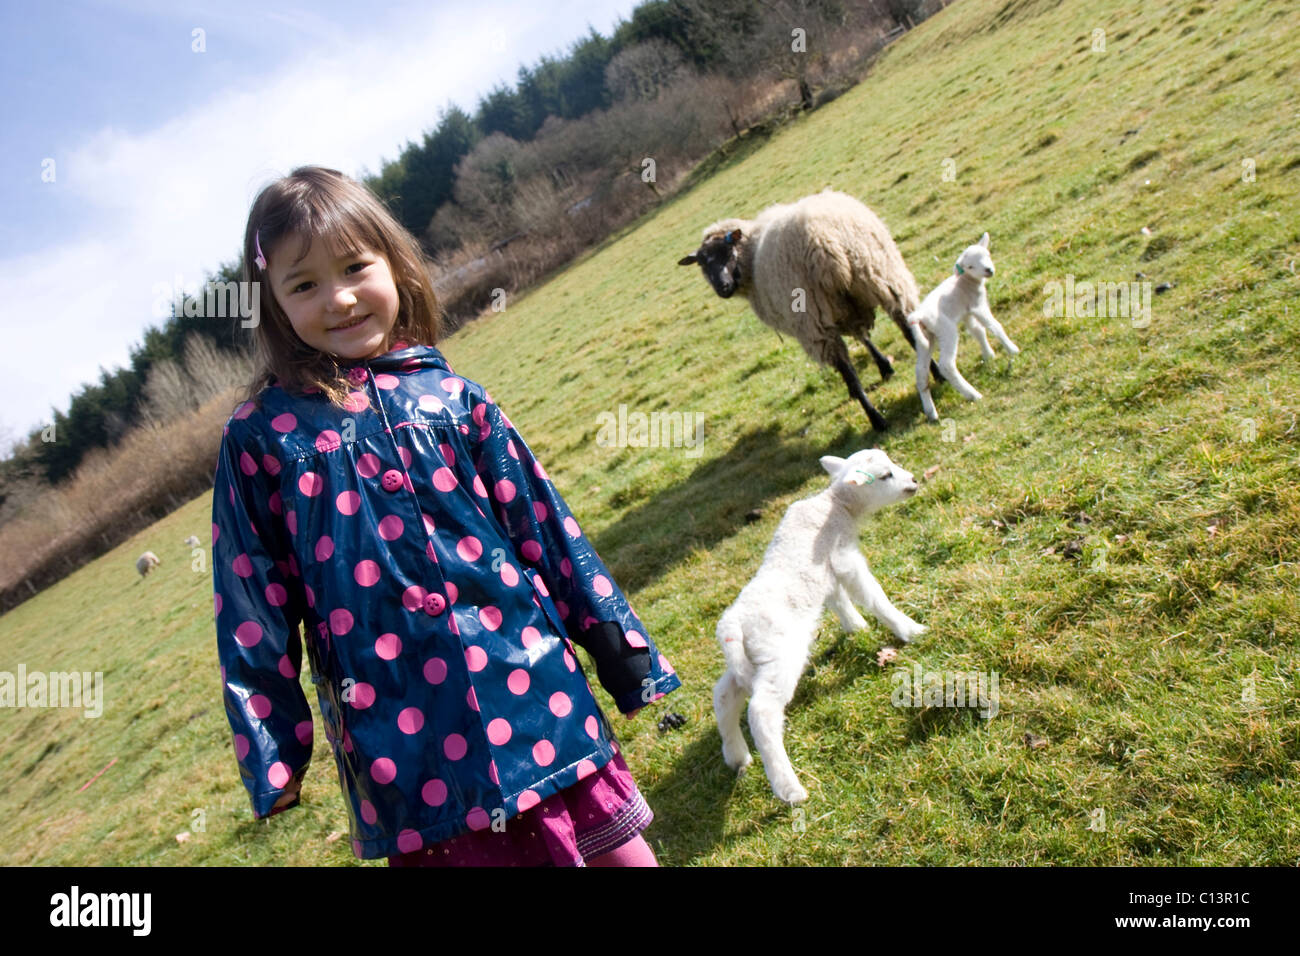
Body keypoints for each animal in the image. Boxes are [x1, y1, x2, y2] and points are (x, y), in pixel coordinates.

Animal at [678, 189, 941, 431]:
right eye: (703, 263)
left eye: (728, 253)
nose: (722, 287)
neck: (750, 257)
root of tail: (826, 240)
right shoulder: (846, 308)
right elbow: (863, 337)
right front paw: (885, 366)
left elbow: (858, 346)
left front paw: (876, 374)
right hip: (883, 275)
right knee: (908, 328)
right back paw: (935, 375)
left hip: (813, 317)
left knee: (846, 368)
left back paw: (875, 418)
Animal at [713, 448, 926, 804]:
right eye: (885, 475)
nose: (913, 480)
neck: (835, 505)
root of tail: (733, 625)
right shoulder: (845, 559)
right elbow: (872, 595)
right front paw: (909, 629)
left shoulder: (828, 571)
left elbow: (838, 598)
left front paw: (857, 627)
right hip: (779, 655)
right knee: (762, 711)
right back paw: (789, 789)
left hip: (750, 660)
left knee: (724, 694)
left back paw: (736, 755)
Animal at [908, 232, 1019, 422]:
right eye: (970, 266)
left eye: (987, 254)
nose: (989, 270)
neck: (966, 281)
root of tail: (919, 316)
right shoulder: (977, 306)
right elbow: (994, 326)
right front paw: (1012, 349)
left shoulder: (967, 311)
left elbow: (978, 331)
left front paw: (989, 356)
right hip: (946, 331)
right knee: (946, 364)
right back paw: (972, 394)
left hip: (925, 339)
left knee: (921, 372)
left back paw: (931, 412)